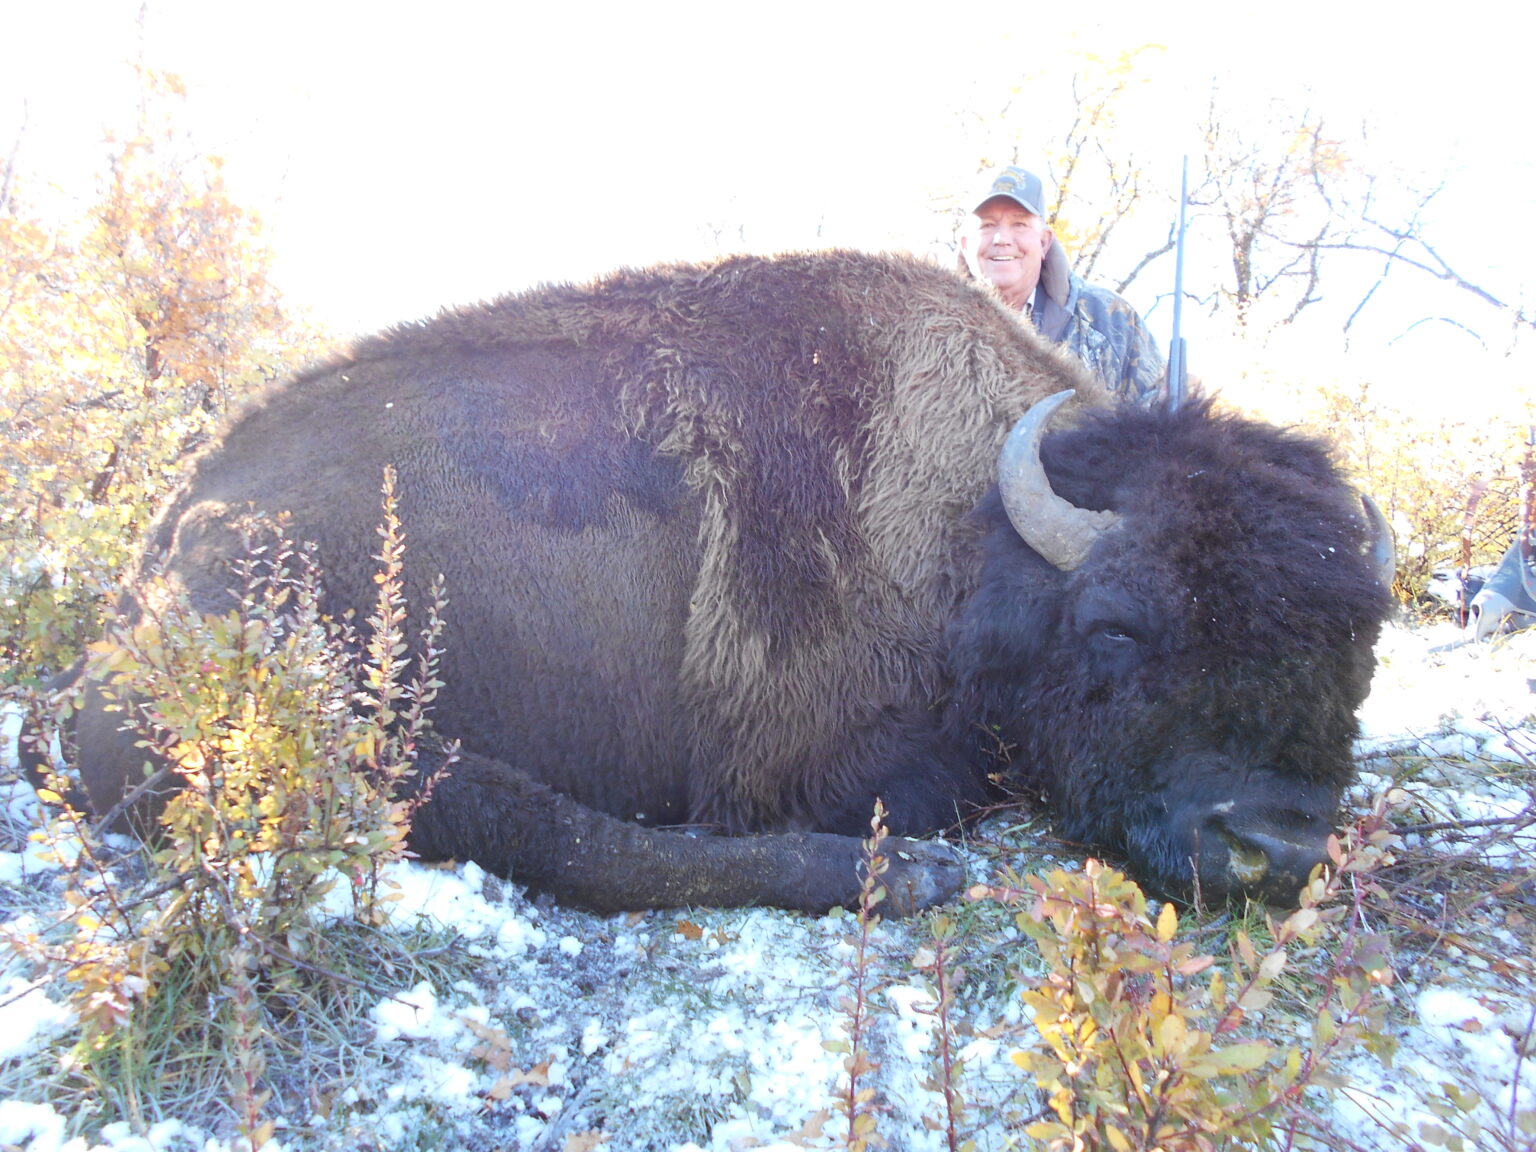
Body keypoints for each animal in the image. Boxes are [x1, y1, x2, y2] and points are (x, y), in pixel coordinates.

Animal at [48, 251, 1395, 913]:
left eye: (1362, 652)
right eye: (1117, 625)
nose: (1271, 847)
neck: (981, 533)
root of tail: (149, 567)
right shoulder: (808, 761)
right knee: (551, 830)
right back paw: (899, 883)